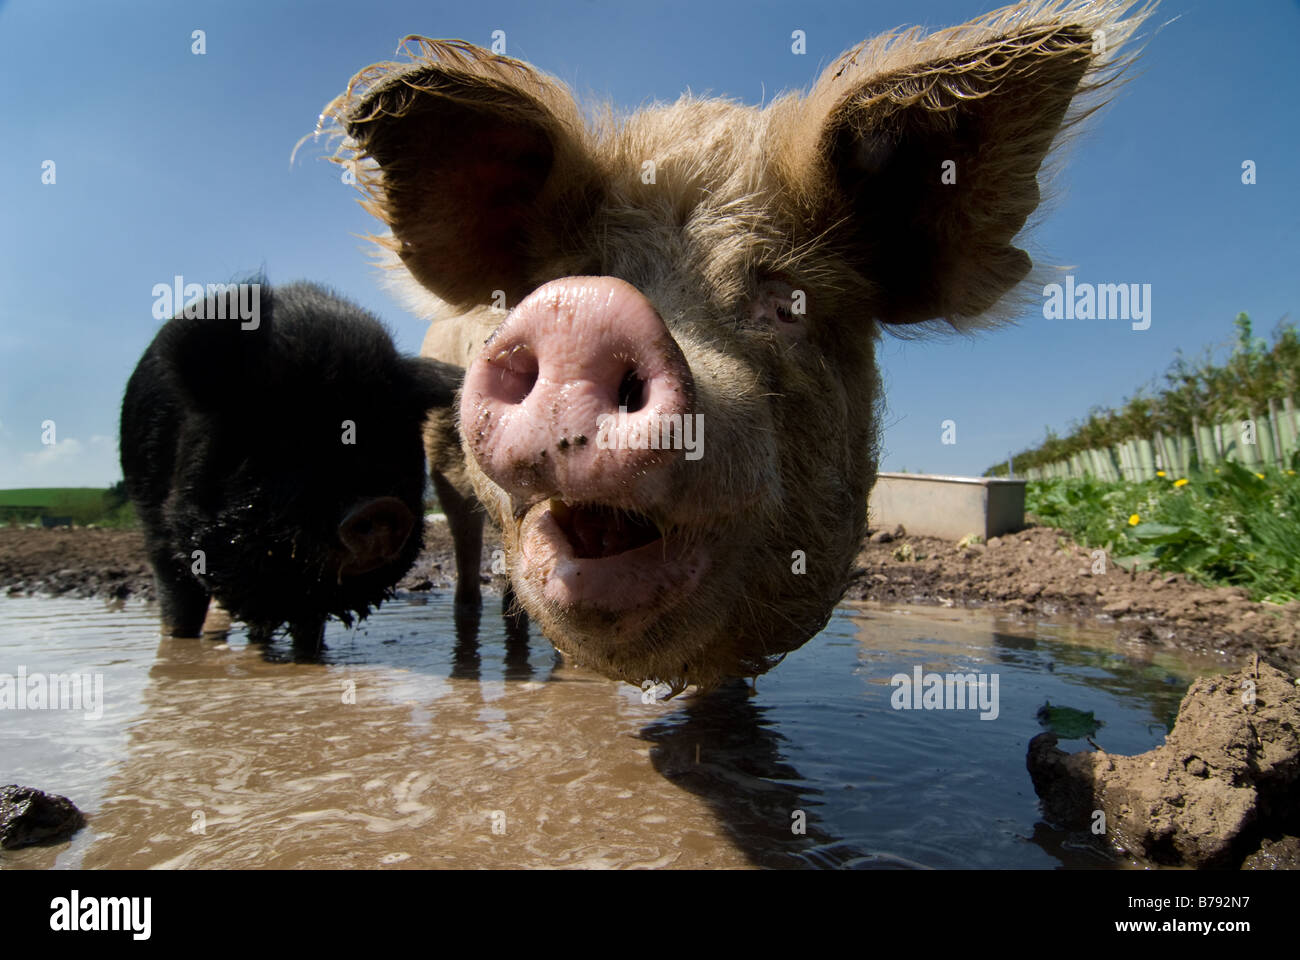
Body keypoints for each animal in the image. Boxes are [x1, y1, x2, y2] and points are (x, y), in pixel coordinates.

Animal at [120, 280, 455, 652]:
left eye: (390, 434)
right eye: (286, 434)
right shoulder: (162, 535)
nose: (380, 505)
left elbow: (309, 631)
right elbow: (179, 615)